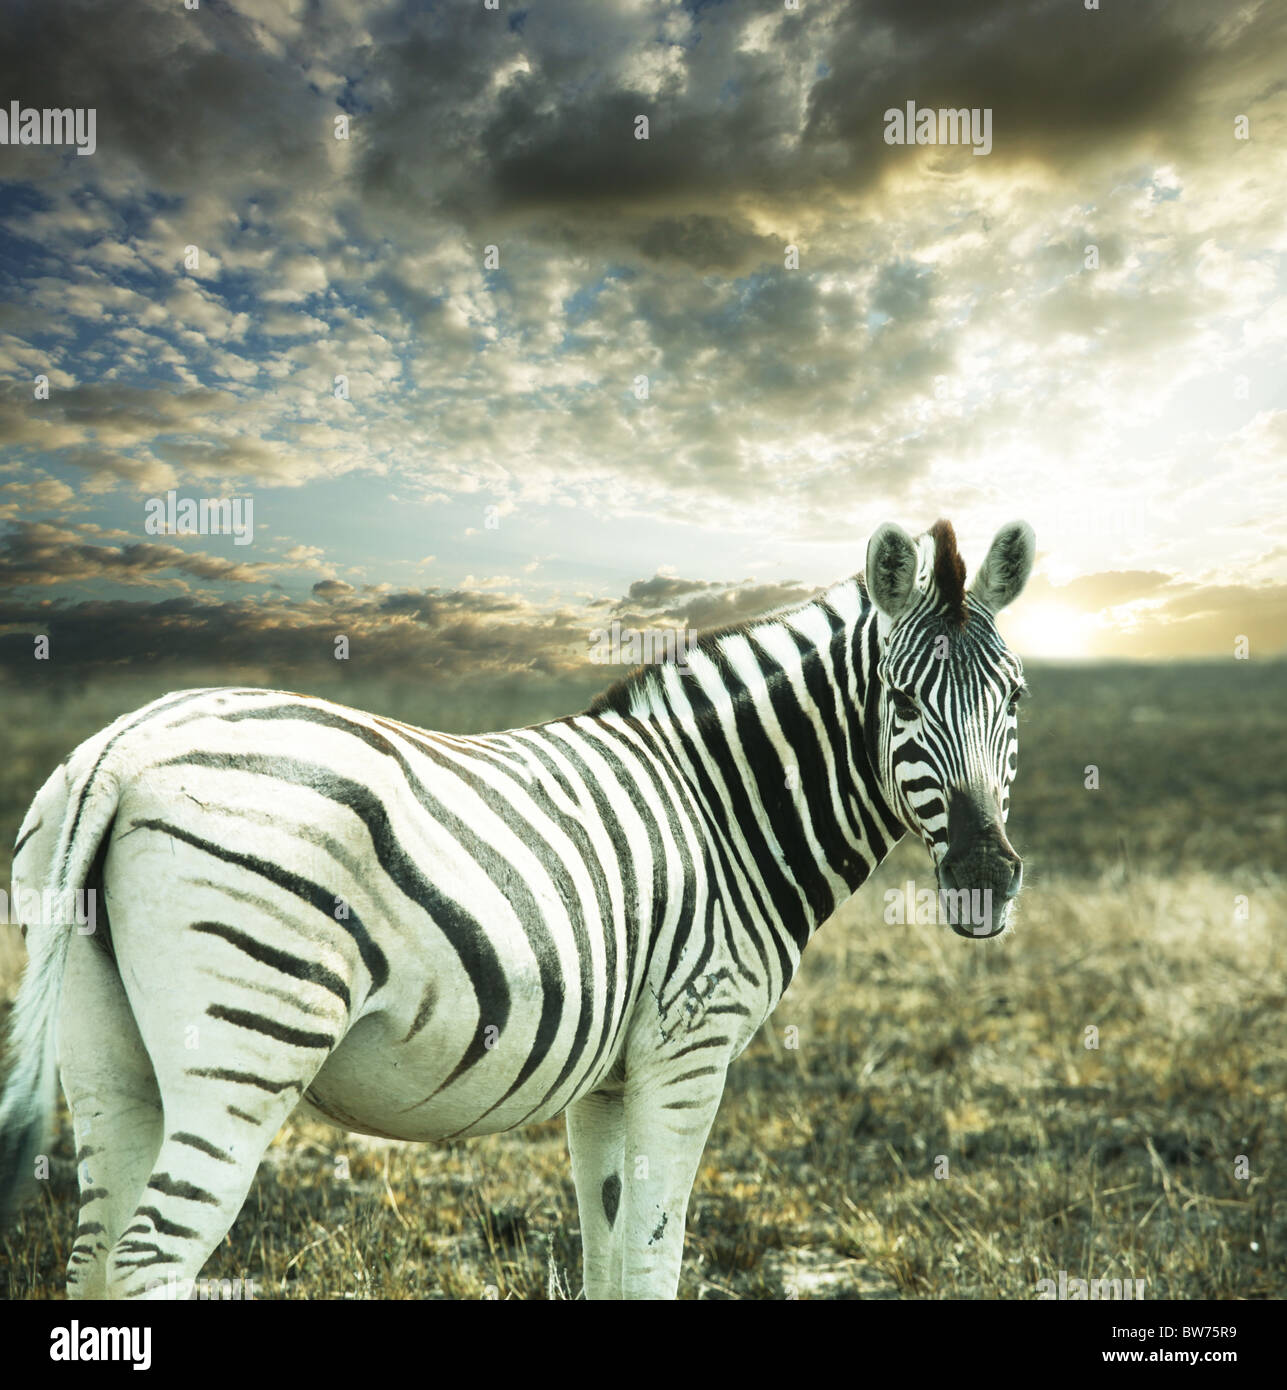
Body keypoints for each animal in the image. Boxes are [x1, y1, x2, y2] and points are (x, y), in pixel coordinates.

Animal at [0, 517, 1034, 1300]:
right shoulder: (689, 1046)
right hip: (248, 1039)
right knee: (150, 1259)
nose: (984, 872)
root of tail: (125, 745)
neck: (721, 808)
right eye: (899, 700)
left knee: (95, 1258)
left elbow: (609, 1257)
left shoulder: (611, 1079)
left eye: (1016, 699)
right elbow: (654, 1259)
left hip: (106, 1055)